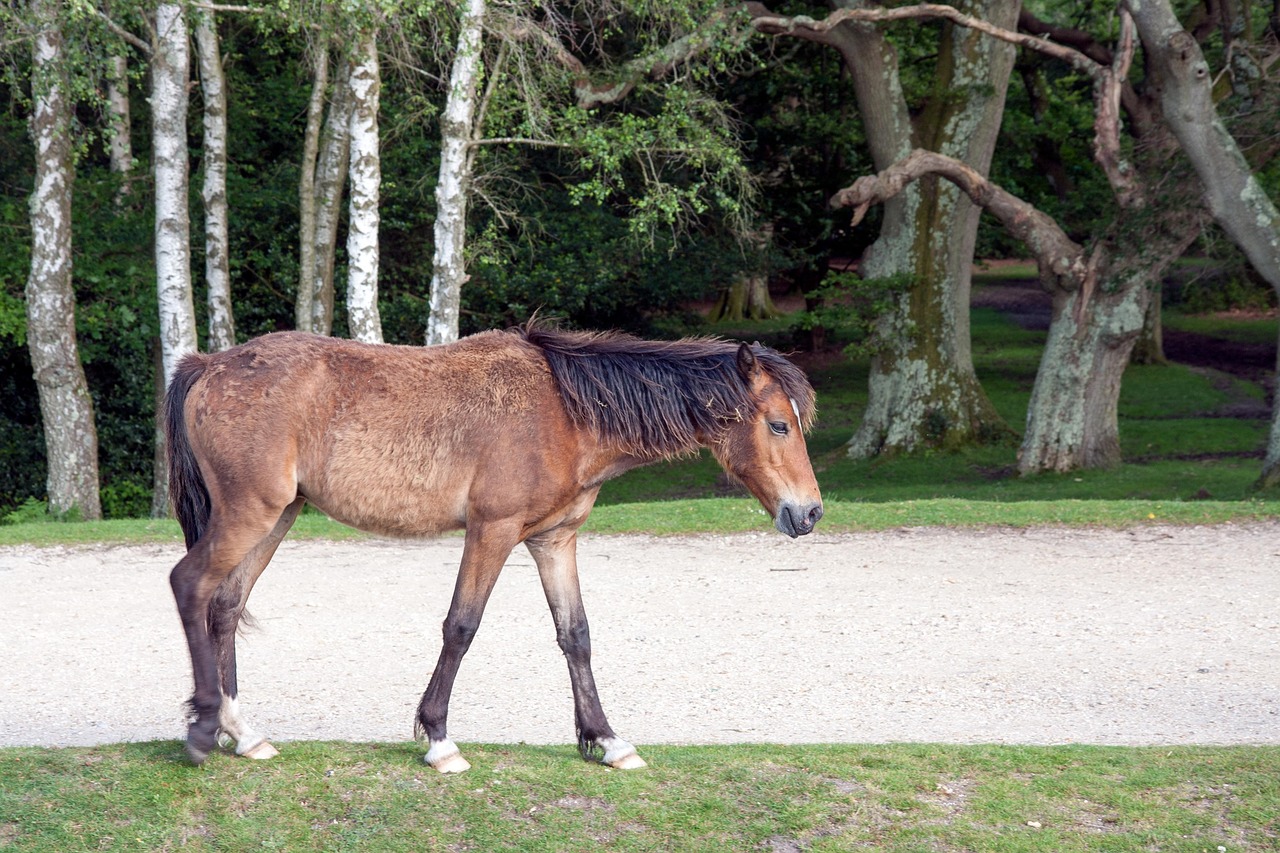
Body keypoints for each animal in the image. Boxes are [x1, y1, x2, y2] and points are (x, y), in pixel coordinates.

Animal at [163, 322, 823, 773]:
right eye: (778, 424)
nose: (810, 512)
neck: (565, 413)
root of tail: (209, 365)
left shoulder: (554, 540)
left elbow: (576, 635)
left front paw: (607, 740)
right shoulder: (493, 531)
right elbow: (462, 625)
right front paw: (438, 740)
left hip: (277, 516)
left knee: (225, 606)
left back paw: (242, 733)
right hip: (250, 514)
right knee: (190, 585)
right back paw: (203, 728)